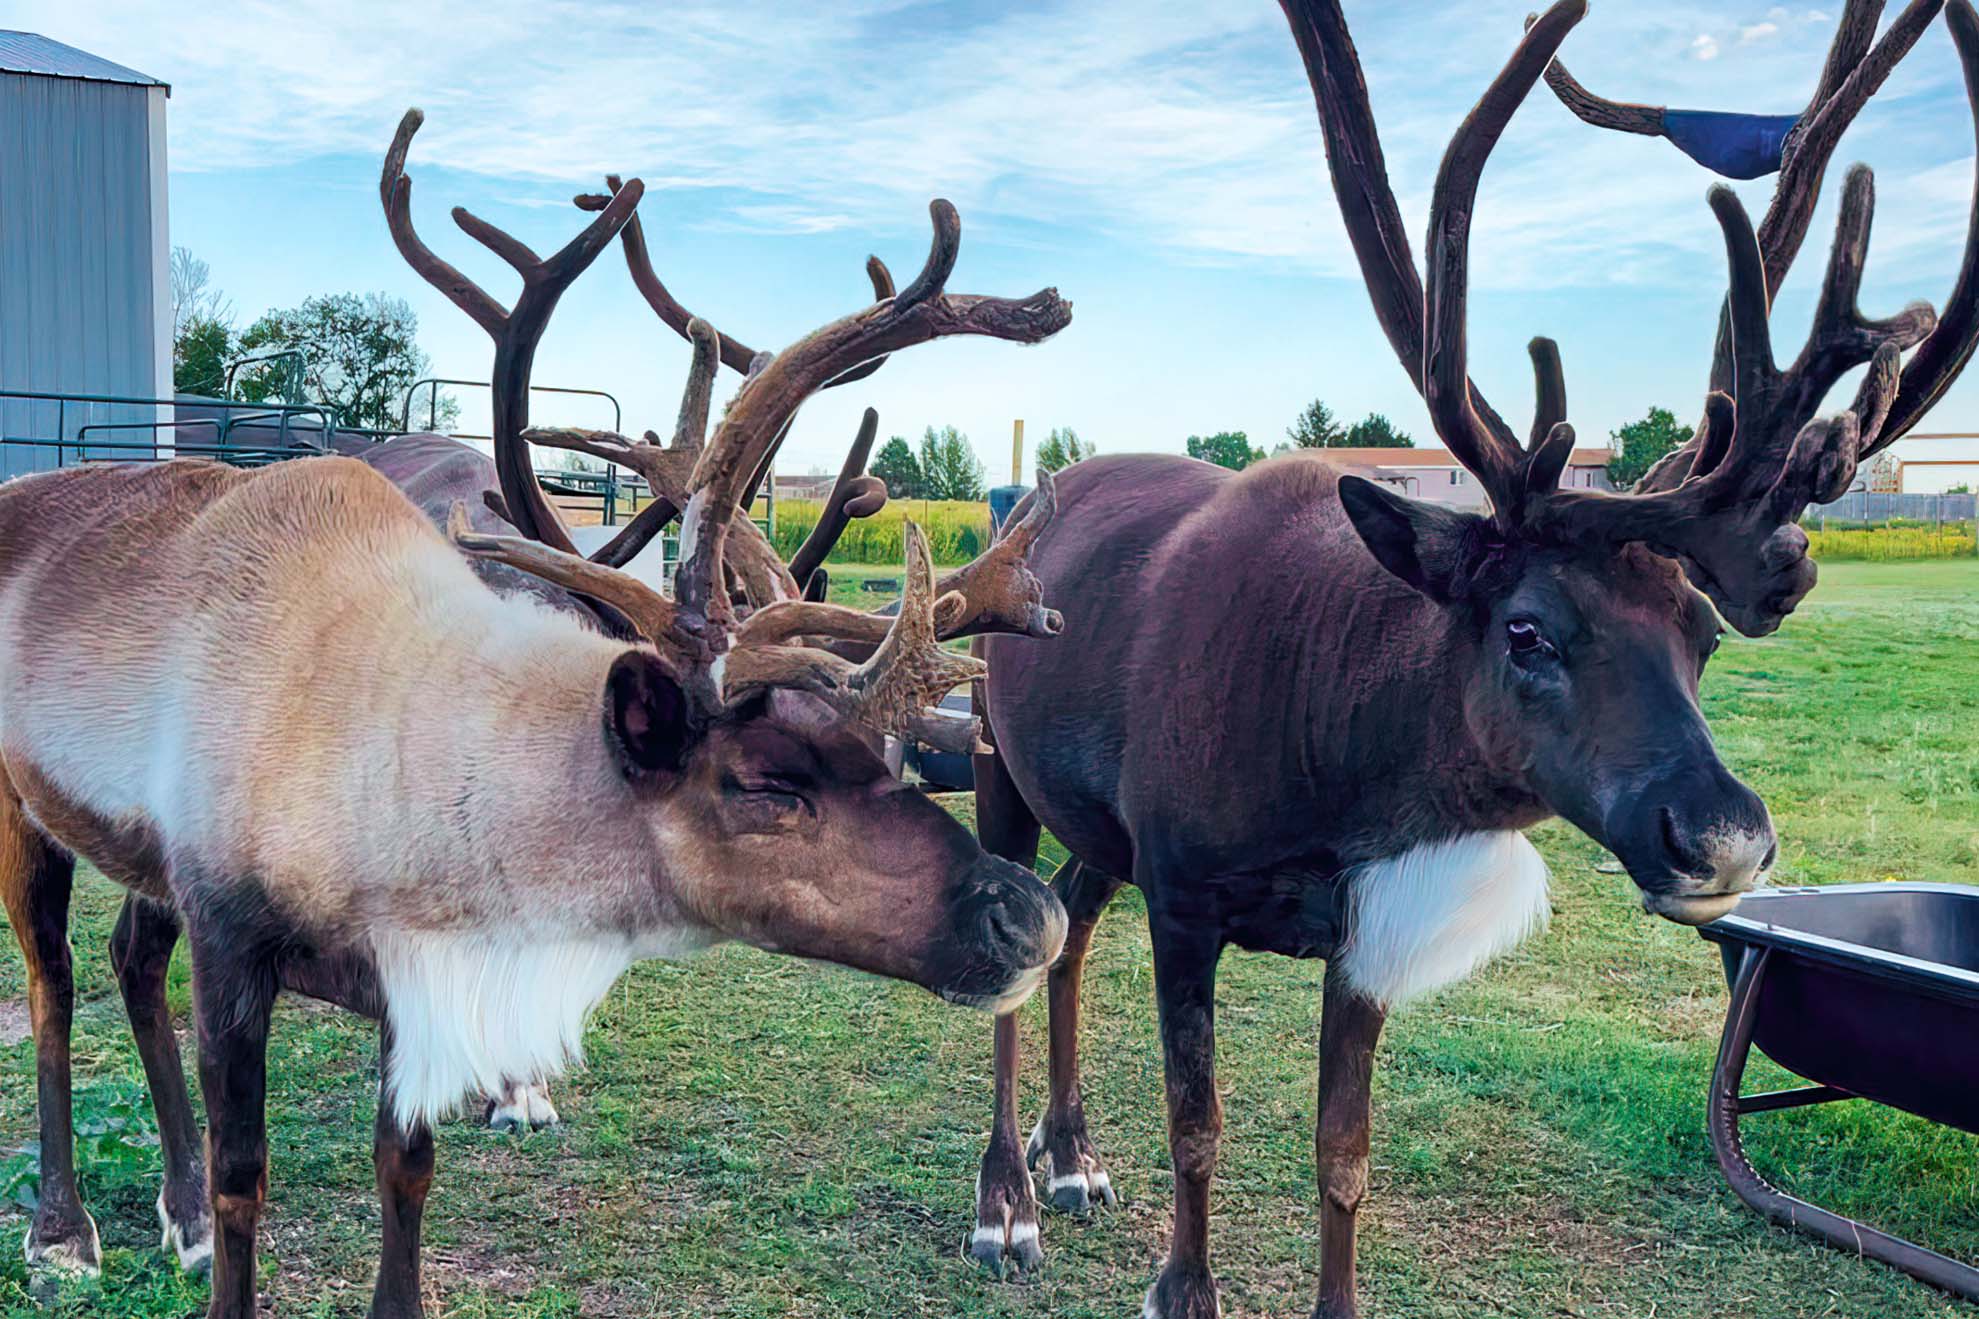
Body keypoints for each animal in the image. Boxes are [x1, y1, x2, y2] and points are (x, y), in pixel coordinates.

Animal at [0, 111, 1074, 1319]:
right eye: (762, 781)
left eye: (889, 749)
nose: (1031, 915)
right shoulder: (231, 927)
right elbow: (247, 1179)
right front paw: (198, 1225)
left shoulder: (409, 976)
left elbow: (406, 1161)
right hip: (28, 810)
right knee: (55, 976)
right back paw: (64, 1229)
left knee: (131, 955)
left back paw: (169, 1206)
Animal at [961, 2, 1979, 1316]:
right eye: (1525, 626)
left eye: (1701, 631)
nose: (1724, 837)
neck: (1330, 758)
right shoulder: (1184, 886)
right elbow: (1199, 1125)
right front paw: (1179, 1283)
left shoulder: (1356, 924)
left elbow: (1342, 1151)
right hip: (998, 755)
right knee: (1014, 953)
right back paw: (1005, 1199)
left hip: (1096, 819)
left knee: (1072, 925)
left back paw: (1073, 1150)